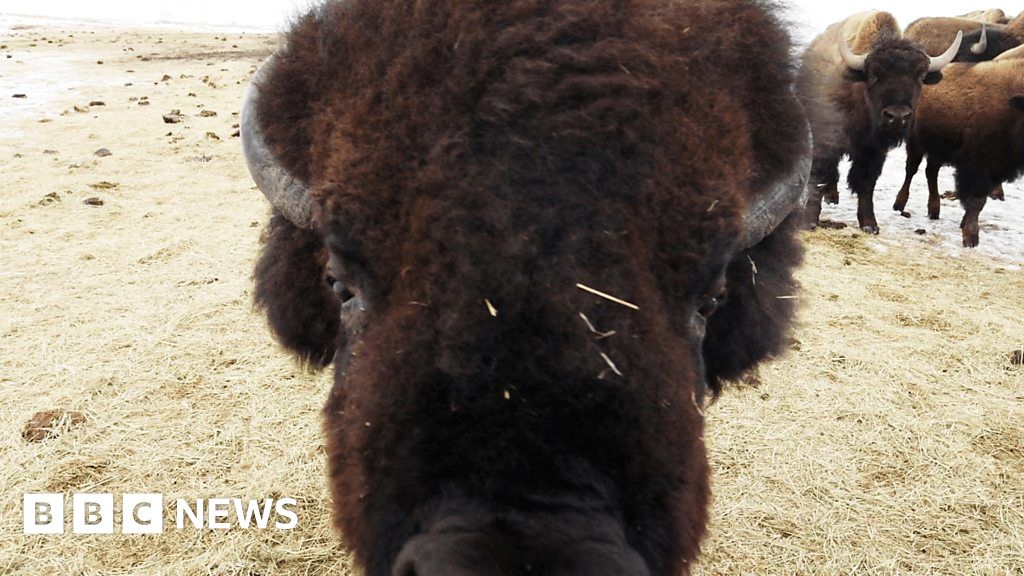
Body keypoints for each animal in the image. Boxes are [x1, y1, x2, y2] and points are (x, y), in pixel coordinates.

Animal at [798, 11, 961, 233]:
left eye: (920, 77)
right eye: (874, 75)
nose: (898, 116)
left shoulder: (875, 150)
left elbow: (867, 183)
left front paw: (869, 224)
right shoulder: (827, 141)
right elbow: (821, 177)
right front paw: (810, 221)